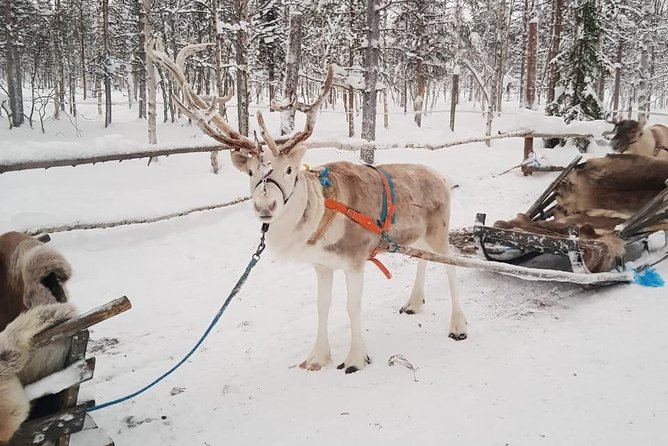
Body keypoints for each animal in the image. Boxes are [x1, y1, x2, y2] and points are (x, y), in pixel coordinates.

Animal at [147, 37, 467, 374]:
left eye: (288, 170)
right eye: (250, 172)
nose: (265, 204)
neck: (320, 215)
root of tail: (441, 177)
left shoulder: (355, 261)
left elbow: (352, 308)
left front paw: (355, 358)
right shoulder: (322, 265)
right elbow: (322, 307)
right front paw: (317, 358)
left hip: (439, 230)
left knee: (450, 267)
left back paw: (458, 326)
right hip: (417, 235)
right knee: (424, 260)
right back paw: (414, 303)